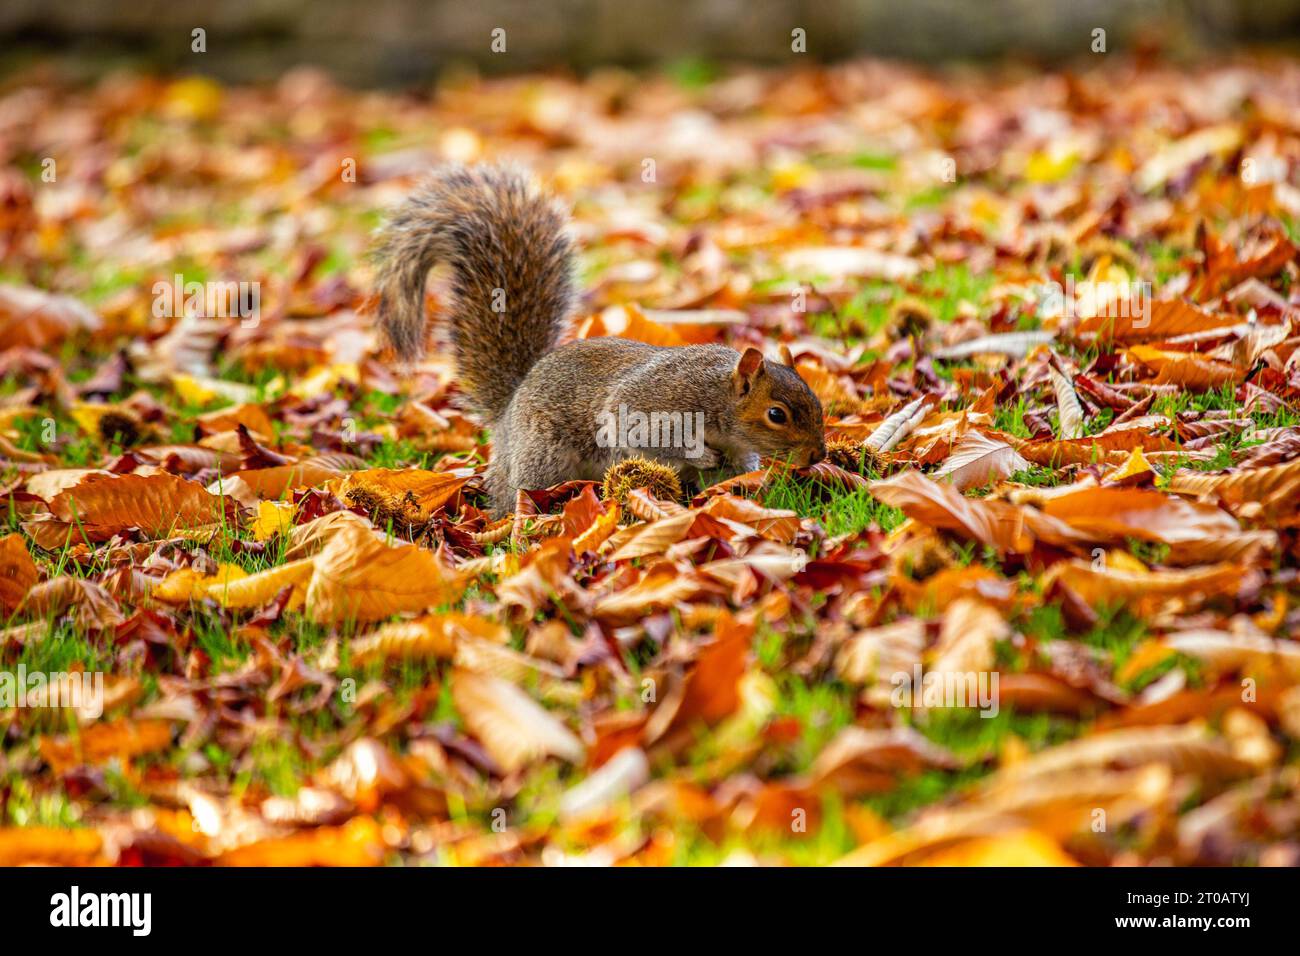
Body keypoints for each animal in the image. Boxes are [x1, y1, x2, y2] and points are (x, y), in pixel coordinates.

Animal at [374, 163, 826, 515]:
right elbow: (648, 436)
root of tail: (508, 411)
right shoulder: (654, 406)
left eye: (818, 404)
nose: (818, 455)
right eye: (777, 414)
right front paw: (699, 453)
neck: (718, 397)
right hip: (542, 457)